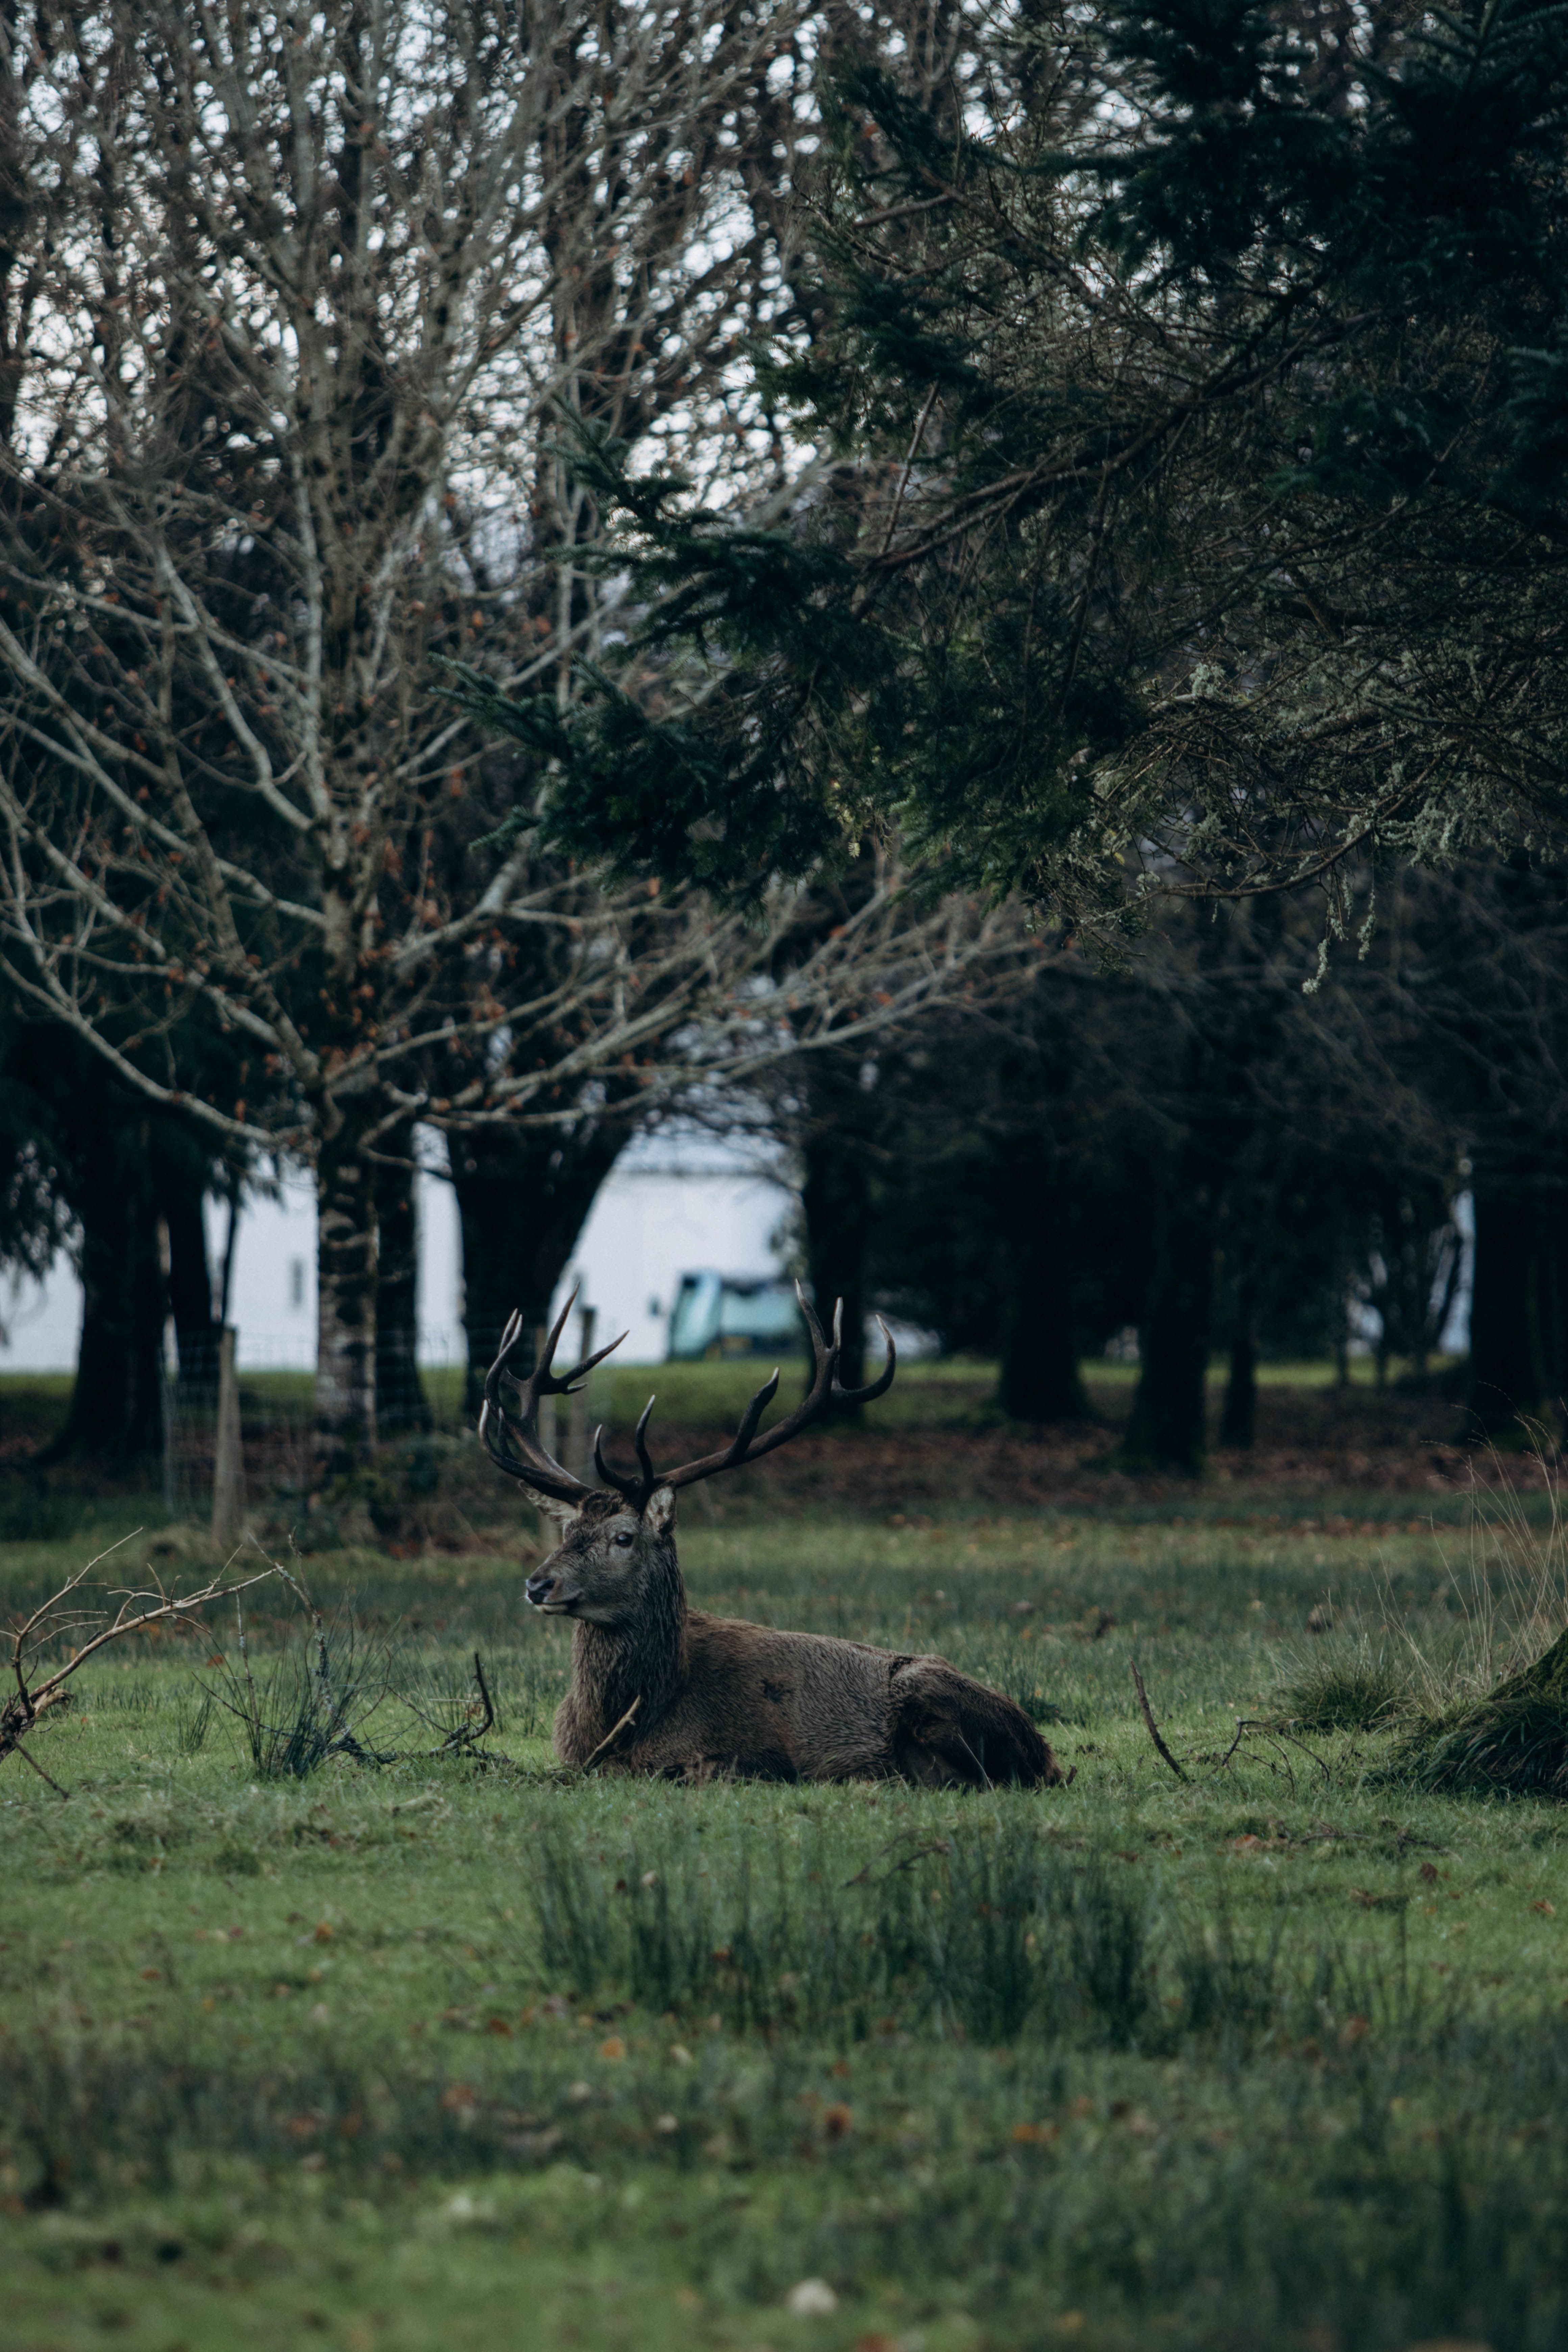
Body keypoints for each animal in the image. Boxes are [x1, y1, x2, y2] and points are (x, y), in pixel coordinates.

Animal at [479, 1287, 1064, 1789]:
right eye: (568, 1530)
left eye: (624, 1538)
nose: (538, 1584)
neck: (621, 1725)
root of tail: (1045, 1752)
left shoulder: (750, 1753)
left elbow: (701, 1769)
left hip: (929, 1693)